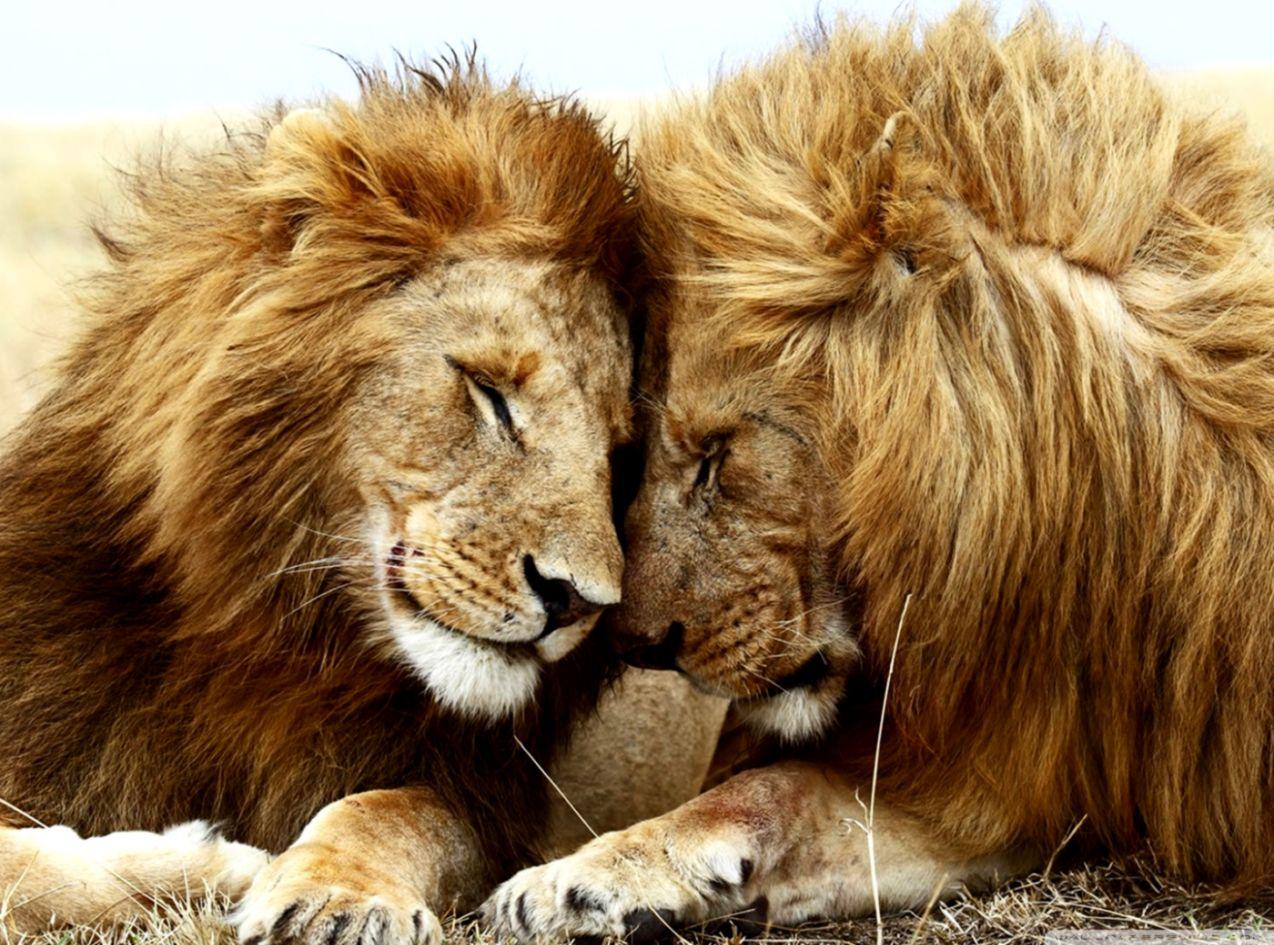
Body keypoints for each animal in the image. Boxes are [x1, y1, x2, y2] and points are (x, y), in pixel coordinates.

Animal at [0, 58, 641, 943]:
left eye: (617, 452)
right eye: (489, 393)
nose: (580, 601)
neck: (279, 638)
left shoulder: (477, 795)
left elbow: (393, 811)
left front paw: (338, 894)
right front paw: (201, 863)